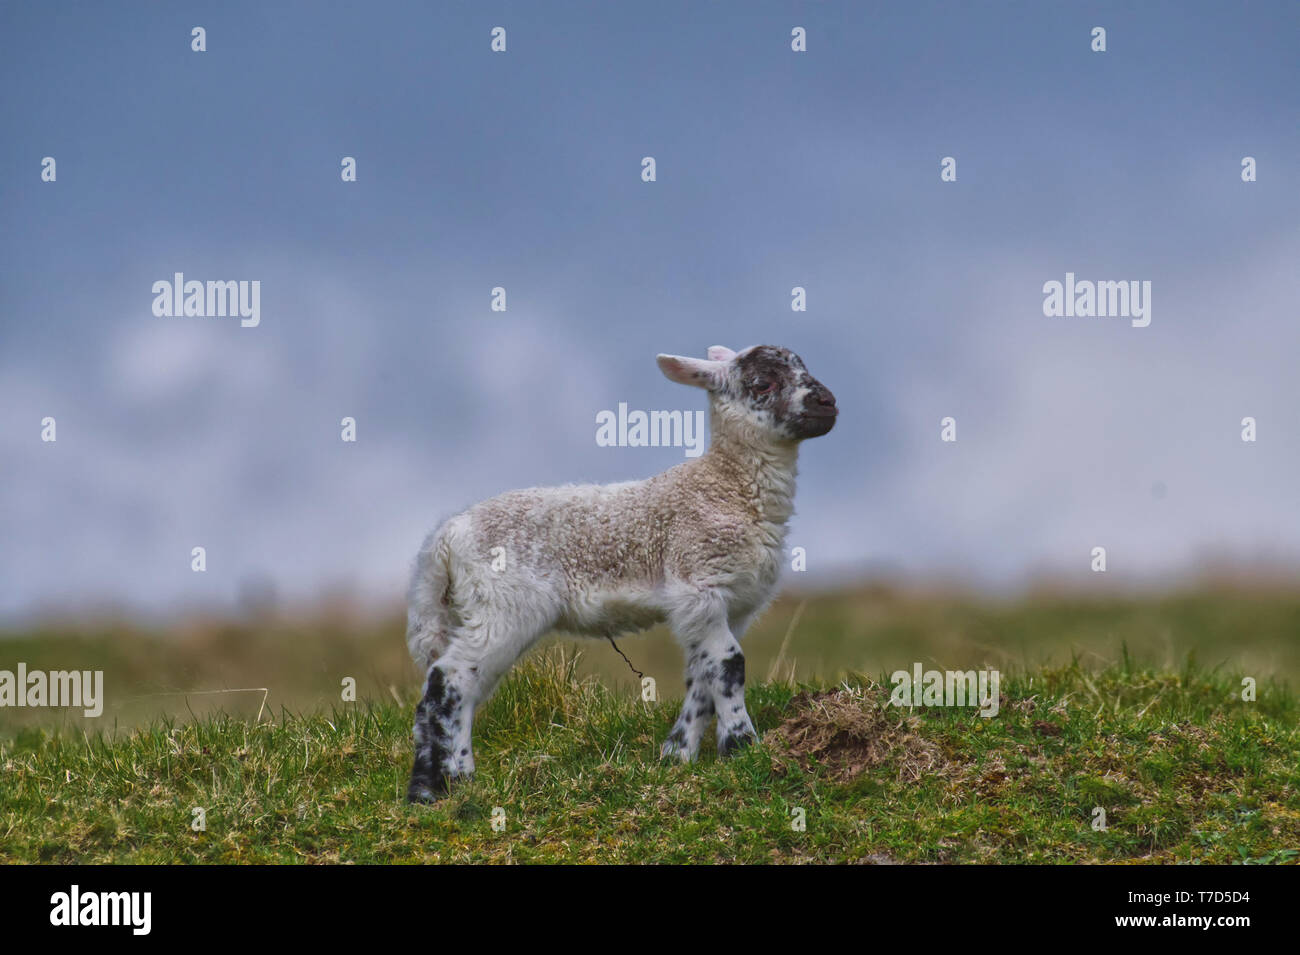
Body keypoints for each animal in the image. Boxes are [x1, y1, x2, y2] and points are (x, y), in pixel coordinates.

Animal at [405, 344, 838, 802]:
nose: (828, 403)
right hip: (503, 605)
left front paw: (677, 753)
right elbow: (729, 667)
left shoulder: (727, 606)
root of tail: (447, 537)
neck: (728, 487)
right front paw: (742, 745)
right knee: (450, 680)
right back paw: (453, 780)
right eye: (764, 383)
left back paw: (427, 788)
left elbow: (701, 678)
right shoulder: (698, 584)